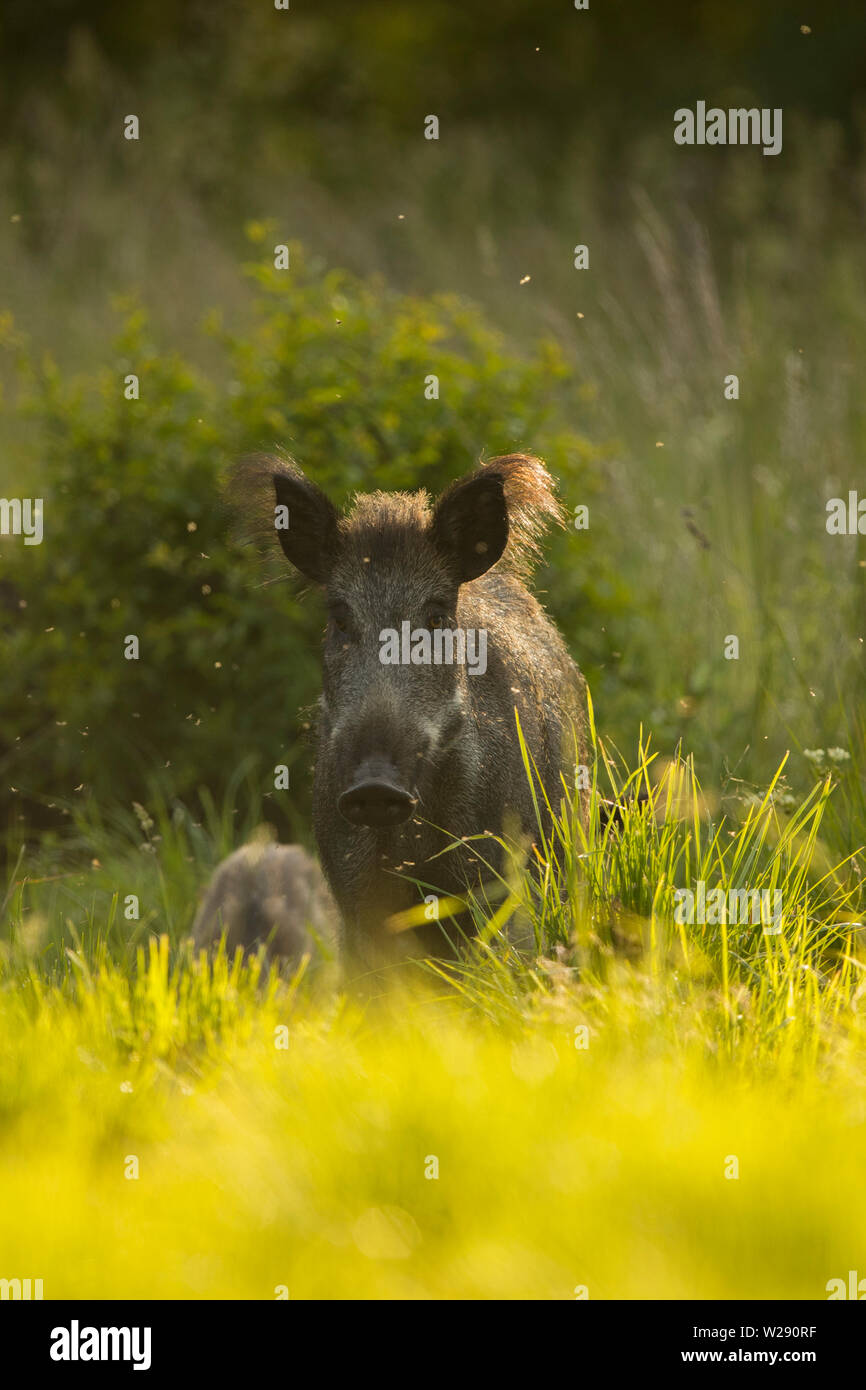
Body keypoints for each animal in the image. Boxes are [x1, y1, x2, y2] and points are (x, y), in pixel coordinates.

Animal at [230, 452, 588, 977]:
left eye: (436, 617)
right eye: (340, 619)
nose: (375, 787)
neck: (409, 845)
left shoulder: (495, 876)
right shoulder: (353, 890)